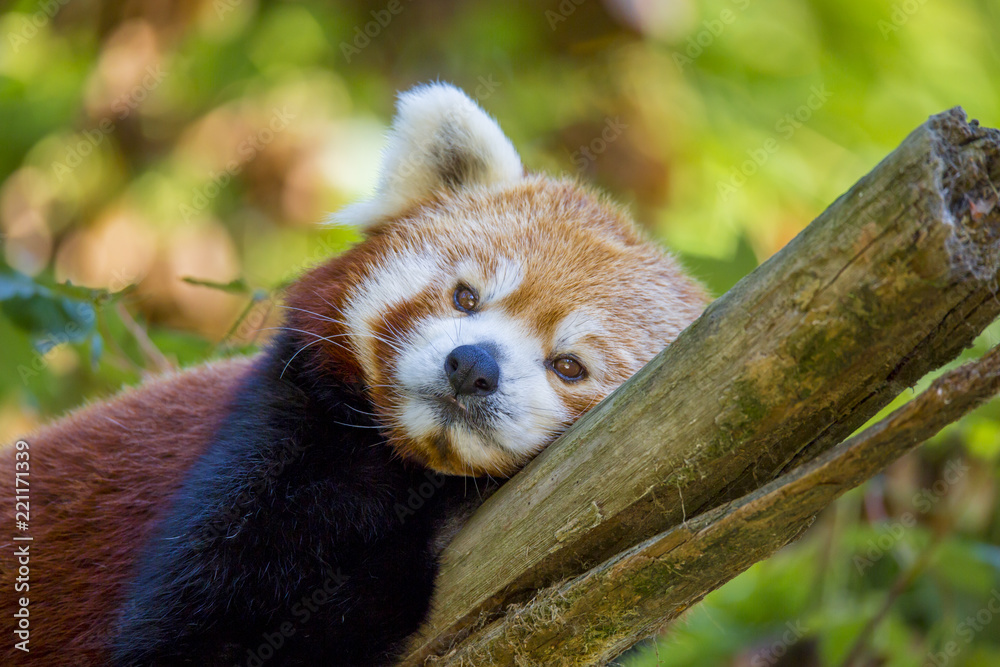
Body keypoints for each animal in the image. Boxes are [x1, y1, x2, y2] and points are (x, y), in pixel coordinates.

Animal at [0, 83, 707, 666]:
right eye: (466, 298)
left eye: (569, 366)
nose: (473, 366)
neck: (413, 469)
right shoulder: (271, 435)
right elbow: (201, 636)